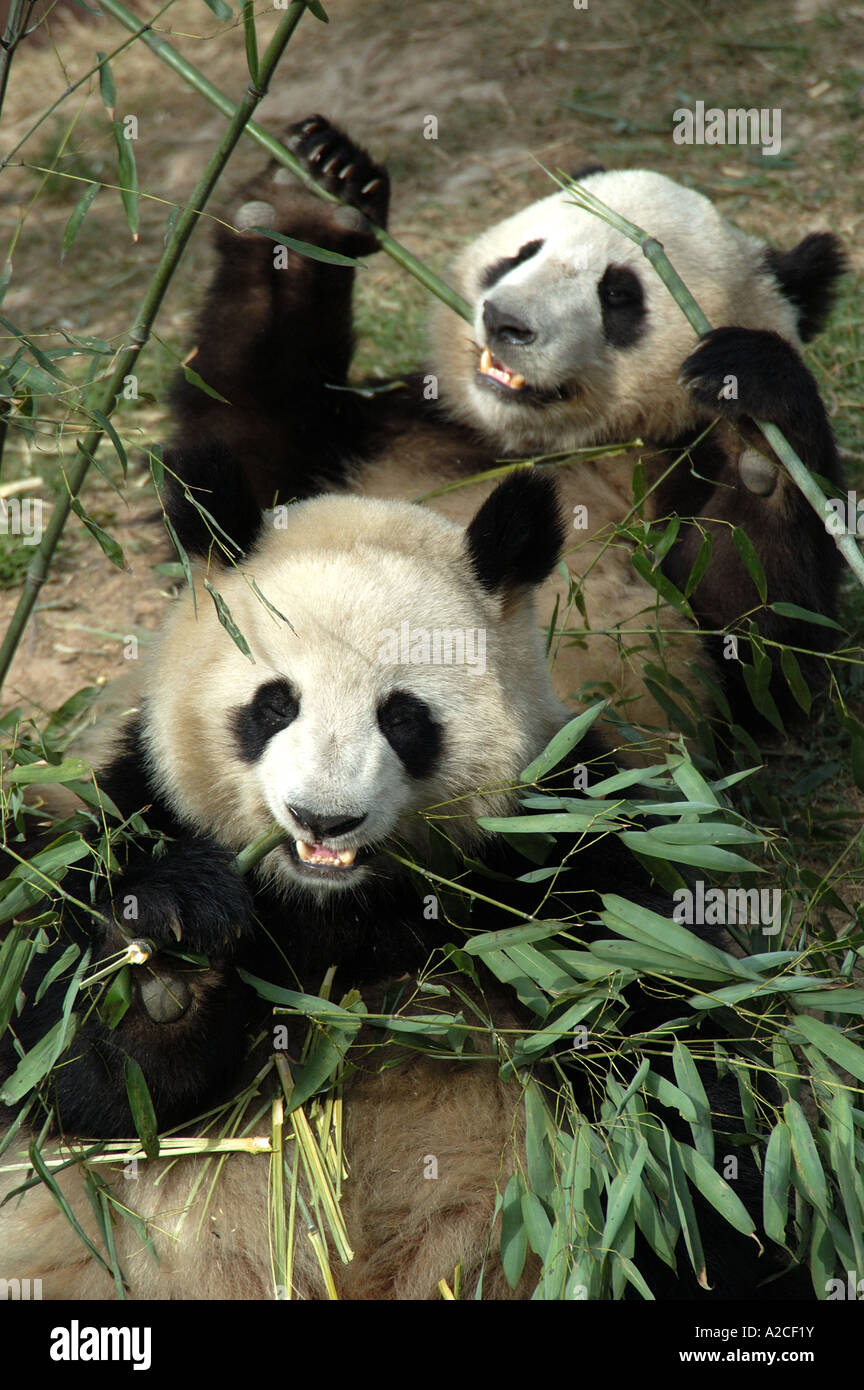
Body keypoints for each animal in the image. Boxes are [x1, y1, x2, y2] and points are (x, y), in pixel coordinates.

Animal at [0, 475, 806, 1301]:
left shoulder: (563, 843)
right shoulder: (133, 811)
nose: (324, 818)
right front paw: (167, 961)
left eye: (402, 716)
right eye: (274, 704)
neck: (338, 904)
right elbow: (83, 1078)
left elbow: (670, 1048)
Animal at [166, 115, 846, 740]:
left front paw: (757, 426)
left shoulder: (673, 478)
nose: (505, 321)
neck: (544, 444)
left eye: (619, 294)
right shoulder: (397, 429)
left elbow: (756, 643)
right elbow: (243, 472)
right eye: (523, 253)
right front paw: (309, 194)